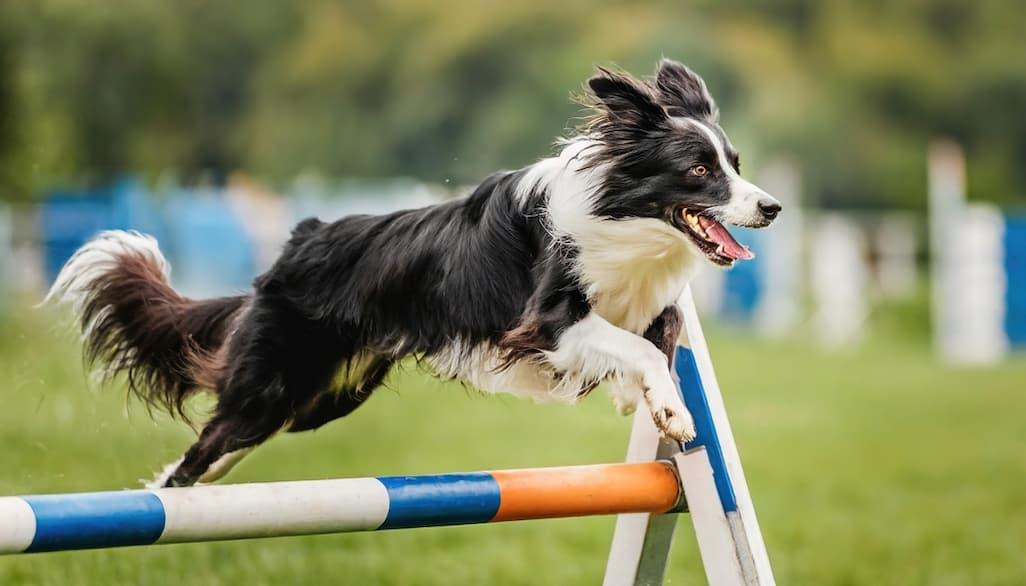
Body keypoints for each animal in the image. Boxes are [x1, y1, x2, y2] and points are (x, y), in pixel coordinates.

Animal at [46, 60, 775, 490]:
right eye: (700, 171)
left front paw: (644, 401)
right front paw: (671, 412)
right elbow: (636, 348)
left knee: (215, 451)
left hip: (321, 399)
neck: (626, 218)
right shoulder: (548, 320)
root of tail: (296, 244)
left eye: (736, 163)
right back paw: (164, 503)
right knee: (201, 451)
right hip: (273, 388)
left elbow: (662, 337)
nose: (770, 206)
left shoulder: (647, 302)